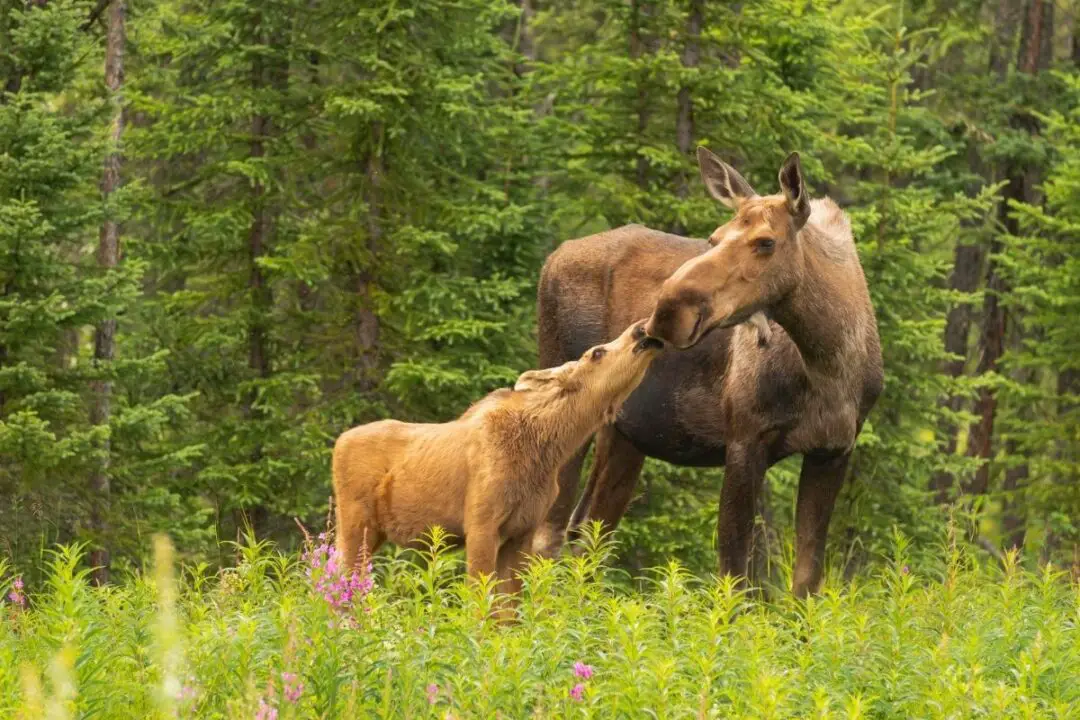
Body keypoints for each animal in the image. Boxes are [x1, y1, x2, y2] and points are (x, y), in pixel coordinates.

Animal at [531, 148, 883, 597]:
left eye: (765, 242)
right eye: (713, 238)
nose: (666, 312)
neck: (830, 364)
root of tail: (551, 258)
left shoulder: (834, 450)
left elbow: (805, 581)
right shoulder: (745, 439)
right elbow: (734, 577)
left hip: (625, 434)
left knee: (587, 535)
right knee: (547, 534)